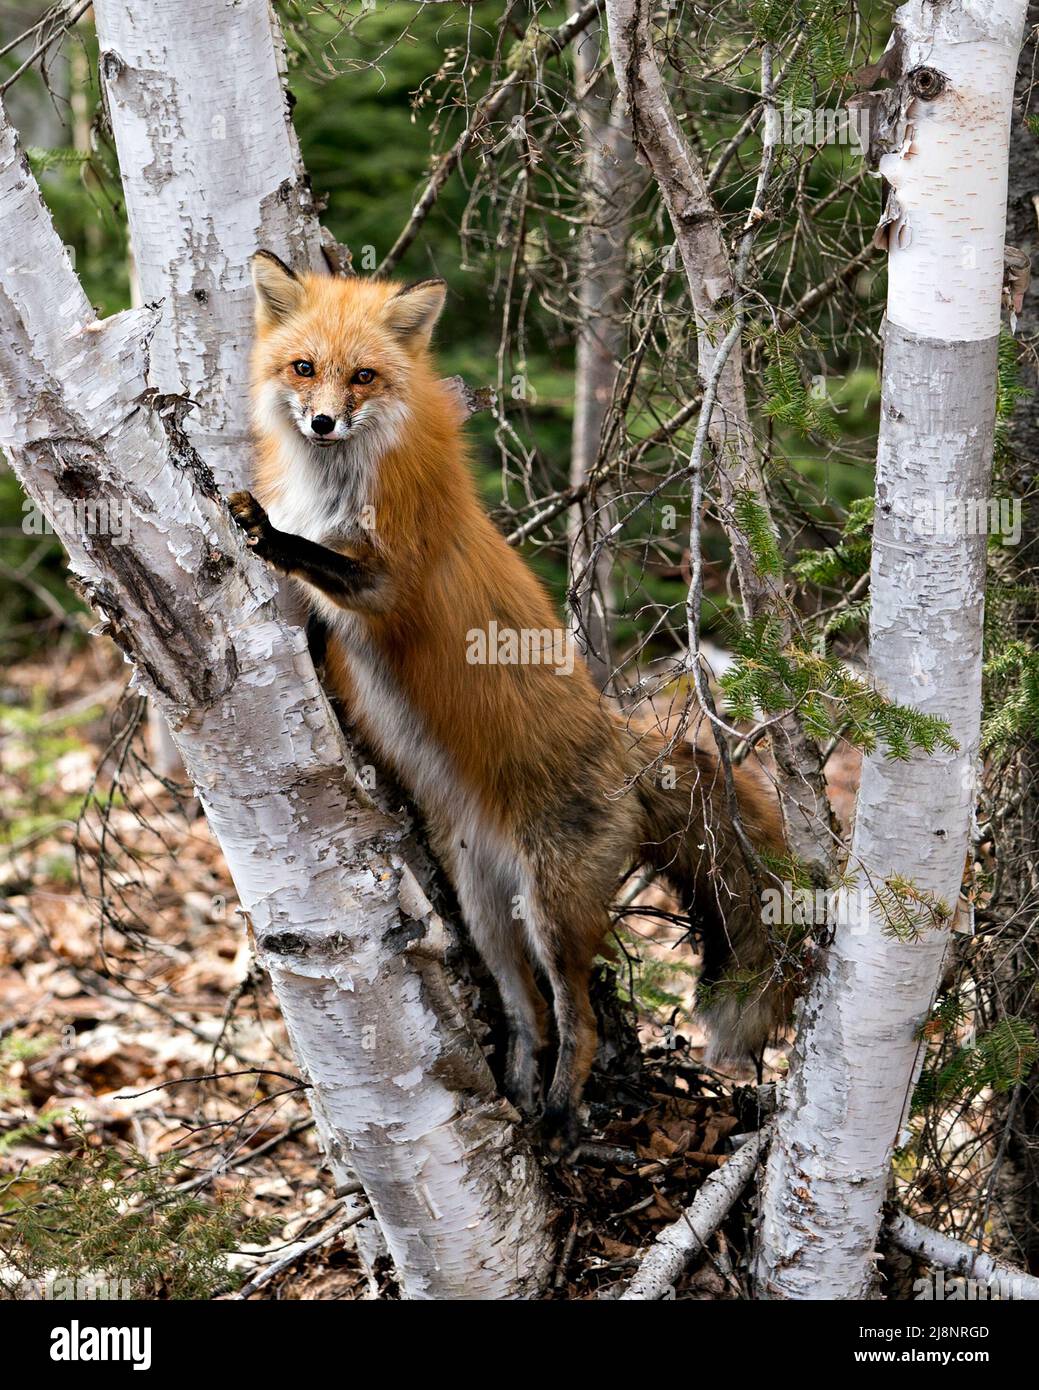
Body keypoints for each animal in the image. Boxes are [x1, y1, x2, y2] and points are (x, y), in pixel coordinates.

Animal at [228, 251, 789, 1154]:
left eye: (363, 377)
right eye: (303, 367)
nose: (320, 423)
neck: (339, 483)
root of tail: (626, 743)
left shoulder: (392, 585)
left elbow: (323, 562)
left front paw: (270, 536)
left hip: (554, 912)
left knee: (578, 1021)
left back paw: (559, 1116)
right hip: (486, 911)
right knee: (529, 1016)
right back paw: (519, 1099)